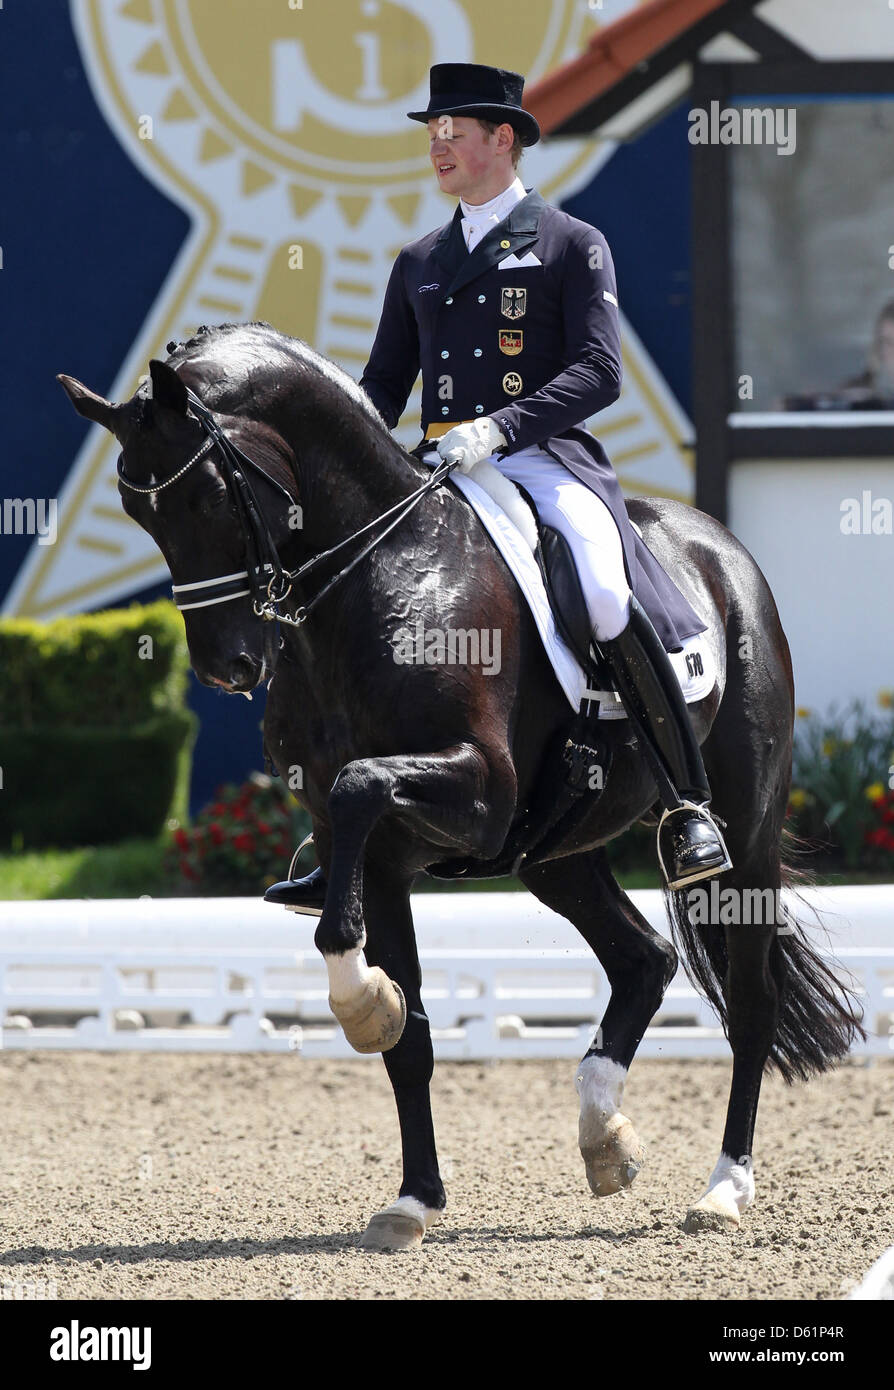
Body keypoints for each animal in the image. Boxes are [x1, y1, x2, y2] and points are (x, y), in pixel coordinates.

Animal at [58, 321, 862, 1250]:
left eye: (210, 500)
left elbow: (360, 786)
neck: (380, 578)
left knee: (752, 997)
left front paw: (364, 1004)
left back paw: (724, 1187)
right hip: (556, 853)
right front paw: (412, 1192)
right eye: (138, 513)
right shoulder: (378, 856)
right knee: (645, 961)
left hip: (743, 826)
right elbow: (404, 1028)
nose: (230, 667)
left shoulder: (479, 797)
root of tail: (718, 546)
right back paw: (604, 1136)